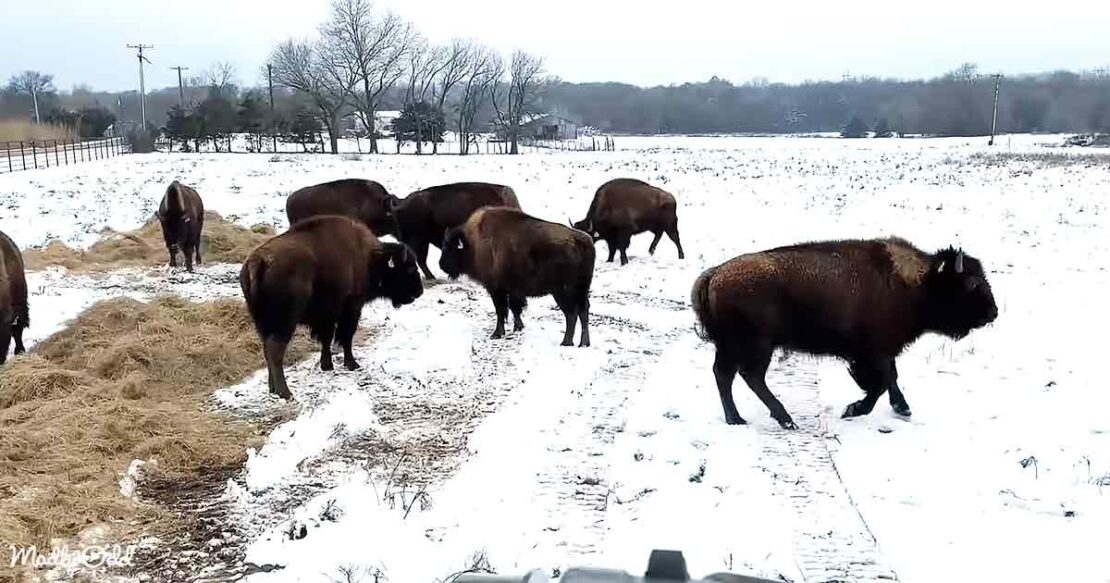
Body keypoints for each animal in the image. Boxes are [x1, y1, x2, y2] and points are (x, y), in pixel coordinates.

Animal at [240, 215, 423, 399]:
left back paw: (273, 389)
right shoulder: (351, 309)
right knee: (275, 350)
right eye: (409, 268)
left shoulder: (327, 316)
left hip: (262, 322)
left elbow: (327, 339)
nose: (419, 291)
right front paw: (352, 364)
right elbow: (346, 336)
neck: (370, 257)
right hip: (285, 321)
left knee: (267, 349)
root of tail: (258, 260)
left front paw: (327, 365)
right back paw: (285, 392)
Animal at [440, 207, 595, 347]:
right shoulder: (513, 289)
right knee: (583, 311)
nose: (441, 264)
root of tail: (581, 240)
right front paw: (518, 327)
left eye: (450, 247)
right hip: (582, 289)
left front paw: (497, 333)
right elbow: (515, 308)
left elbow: (501, 310)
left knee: (571, 313)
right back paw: (584, 343)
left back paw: (566, 342)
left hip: (562, 291)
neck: (474, 243)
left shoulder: (496, 289)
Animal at [691, 238, 997, 429]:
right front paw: (855, 409)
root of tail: (714, 275)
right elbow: (880, 384)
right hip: (756, 346)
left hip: (732, 347)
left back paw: (738, 419)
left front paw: (902, 408)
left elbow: (890, 378)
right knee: (749, 376)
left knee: (725, 375)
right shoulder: (872, 353)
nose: (993, 312)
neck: (917, 282)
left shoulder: (883, 351)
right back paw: (784, 420)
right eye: (971, 283)